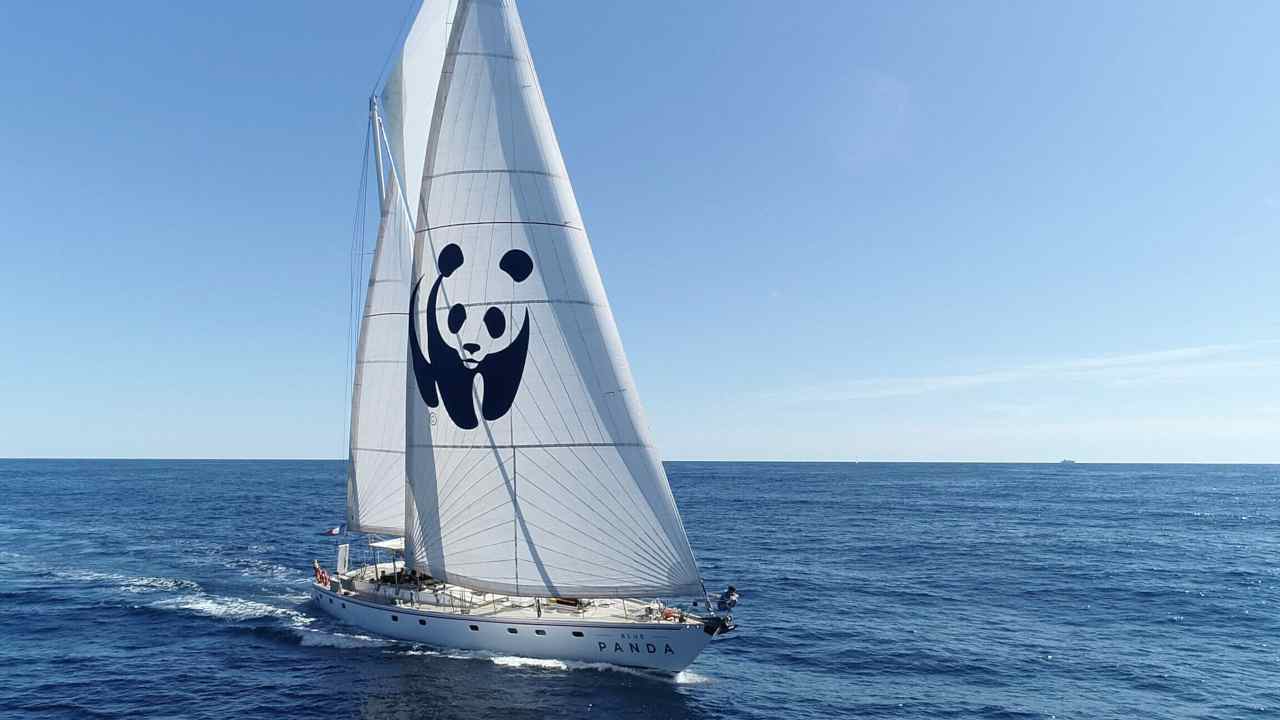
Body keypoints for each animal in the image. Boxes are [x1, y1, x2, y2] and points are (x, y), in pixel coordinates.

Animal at [409, 242, 535, 430]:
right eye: (456, 314)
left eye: (494, 317)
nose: (471, 347)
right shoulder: (440, 344)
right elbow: (454, 385)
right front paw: (467, 419)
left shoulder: (516, 344)